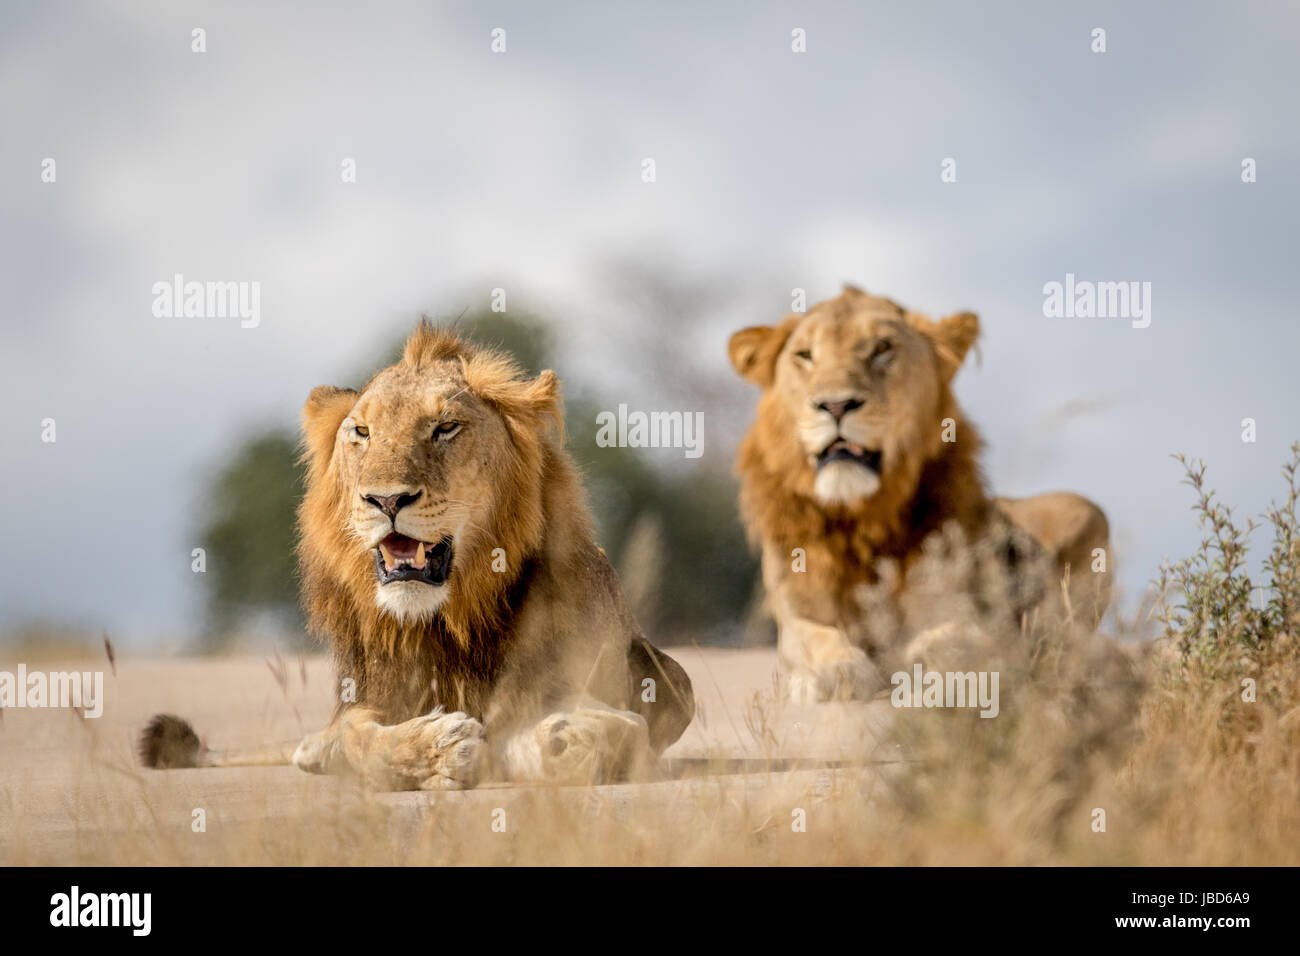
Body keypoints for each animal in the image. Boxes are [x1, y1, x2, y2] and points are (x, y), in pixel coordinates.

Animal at [139, 321, 695, 789]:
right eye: (361, 432)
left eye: (445, 427)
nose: (386, 500)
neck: (446, 620)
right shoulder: (361, 699)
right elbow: (356, 740)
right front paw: (433, 750)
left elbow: (593, 734)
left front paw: (557, 740)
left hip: (668, 674)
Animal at [728, 286, 1111, 702]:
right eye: (804, 355)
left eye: (882, 348)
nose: (836, 405)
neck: (863, 520)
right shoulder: (796, 611)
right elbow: (813, 639)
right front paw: (839, 669)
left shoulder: (956, 603)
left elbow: (956, 634)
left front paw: (933, 656)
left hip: (1082, 508)